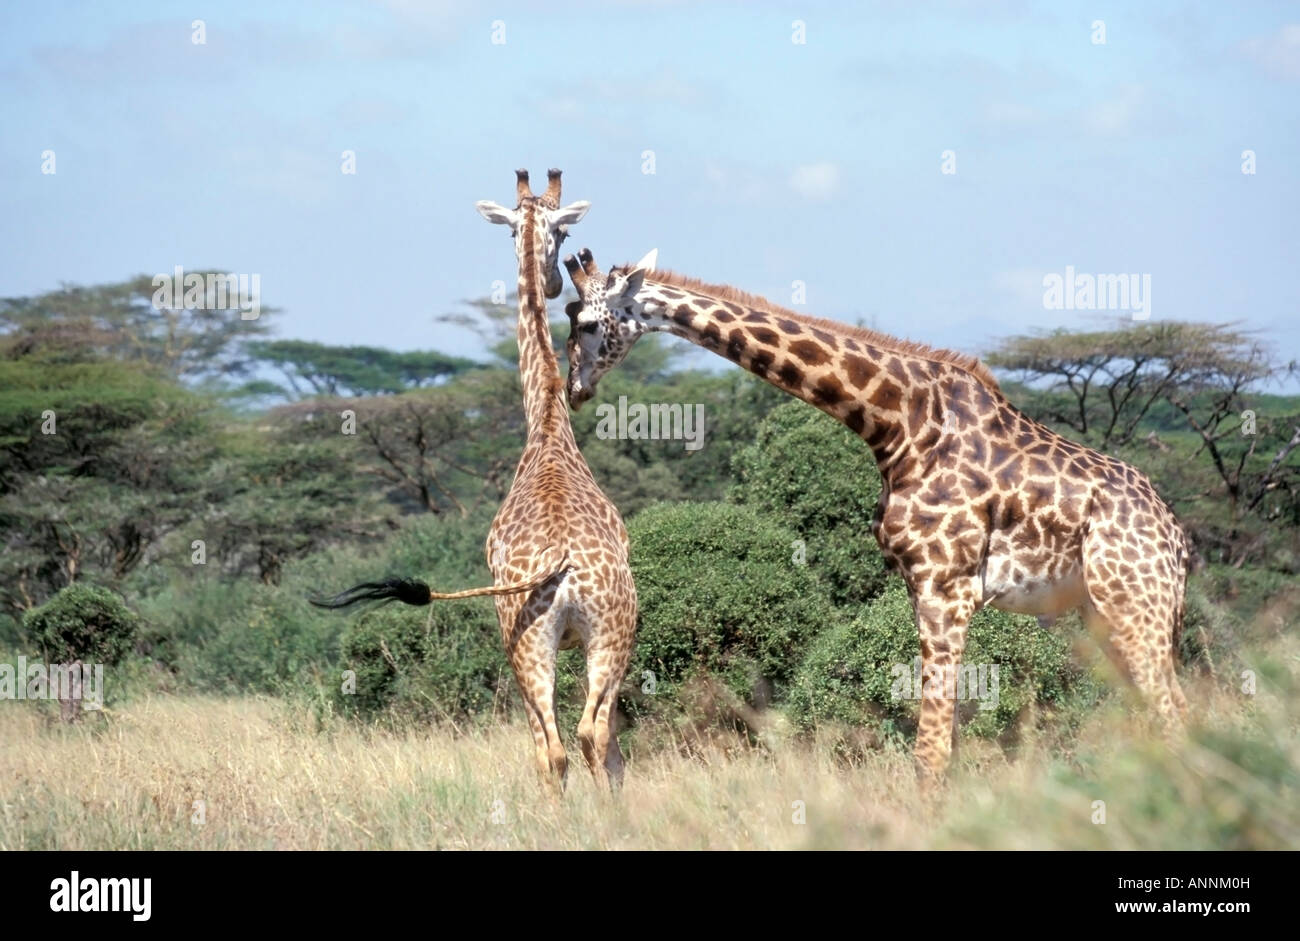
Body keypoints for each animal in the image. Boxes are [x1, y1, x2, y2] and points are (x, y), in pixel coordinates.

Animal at [315, 171, 637, 792]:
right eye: (559, 235)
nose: (553, 280)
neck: (548, 429)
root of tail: (565, 569)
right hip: (596, 638)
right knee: (592, 739)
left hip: (541, 641)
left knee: (561, 747)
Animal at [561, 247, 1189, 783]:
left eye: (587, 322)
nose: (574, 389)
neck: (897, 425)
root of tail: (1176, 537)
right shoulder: (920, 587)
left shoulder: (946, 586)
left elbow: (930, 749)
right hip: (1101, 612)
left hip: (1135, 604)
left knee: (1175, 714)